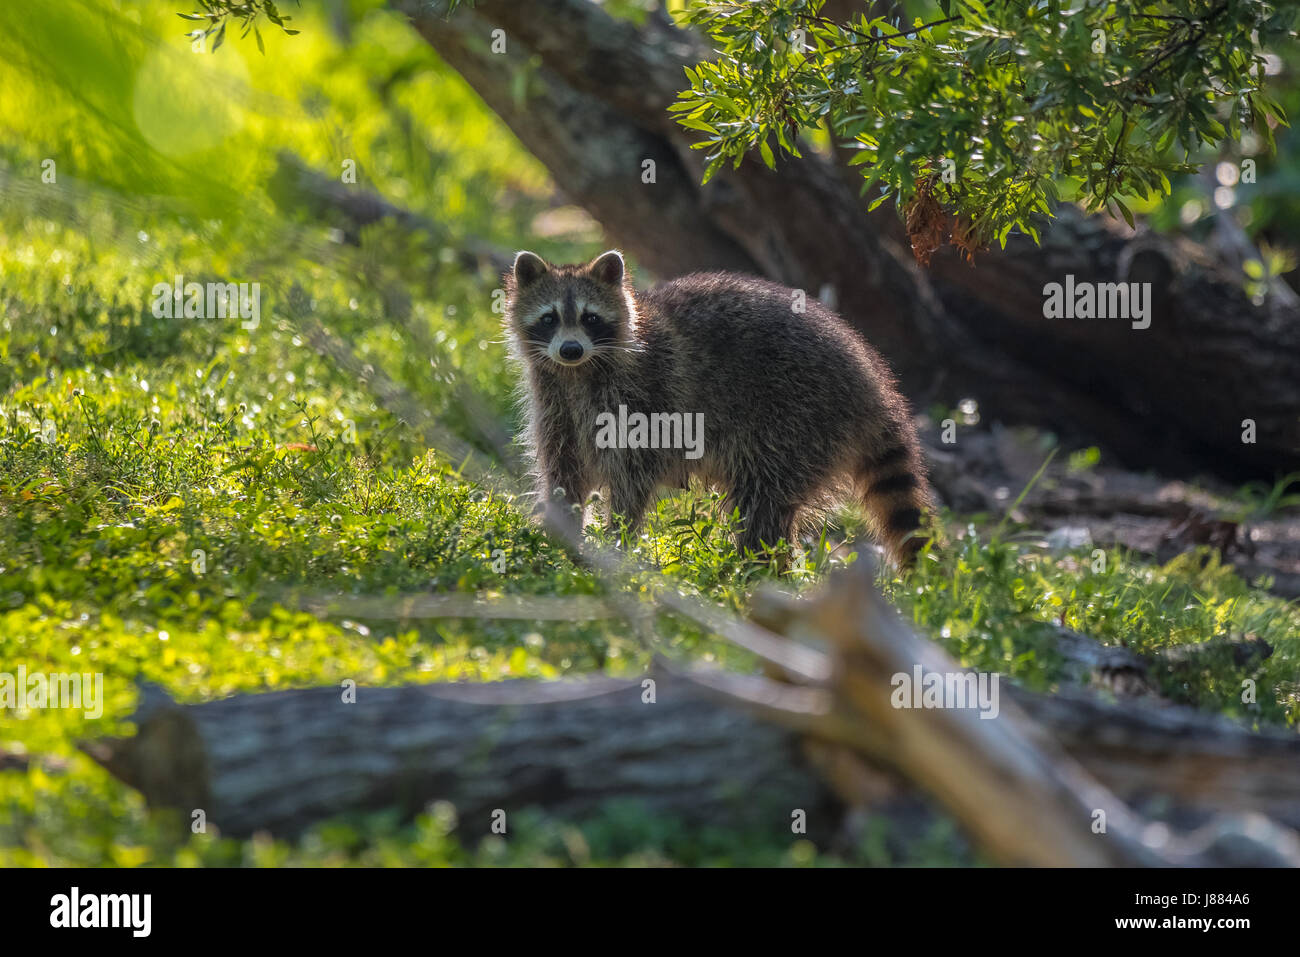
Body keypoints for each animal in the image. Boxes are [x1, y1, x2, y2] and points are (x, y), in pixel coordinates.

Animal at [504, 249, 934, 564]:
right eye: (549, 318)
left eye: (590, 318)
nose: (570, 349)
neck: (577, 374)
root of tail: (872, 381)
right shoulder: (556, 405)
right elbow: (565, 471)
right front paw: (561, 536)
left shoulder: (645, 399)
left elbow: (632, 478)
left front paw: (618, 540)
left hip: (797, 415)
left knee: (761, 500)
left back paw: (755, 570)